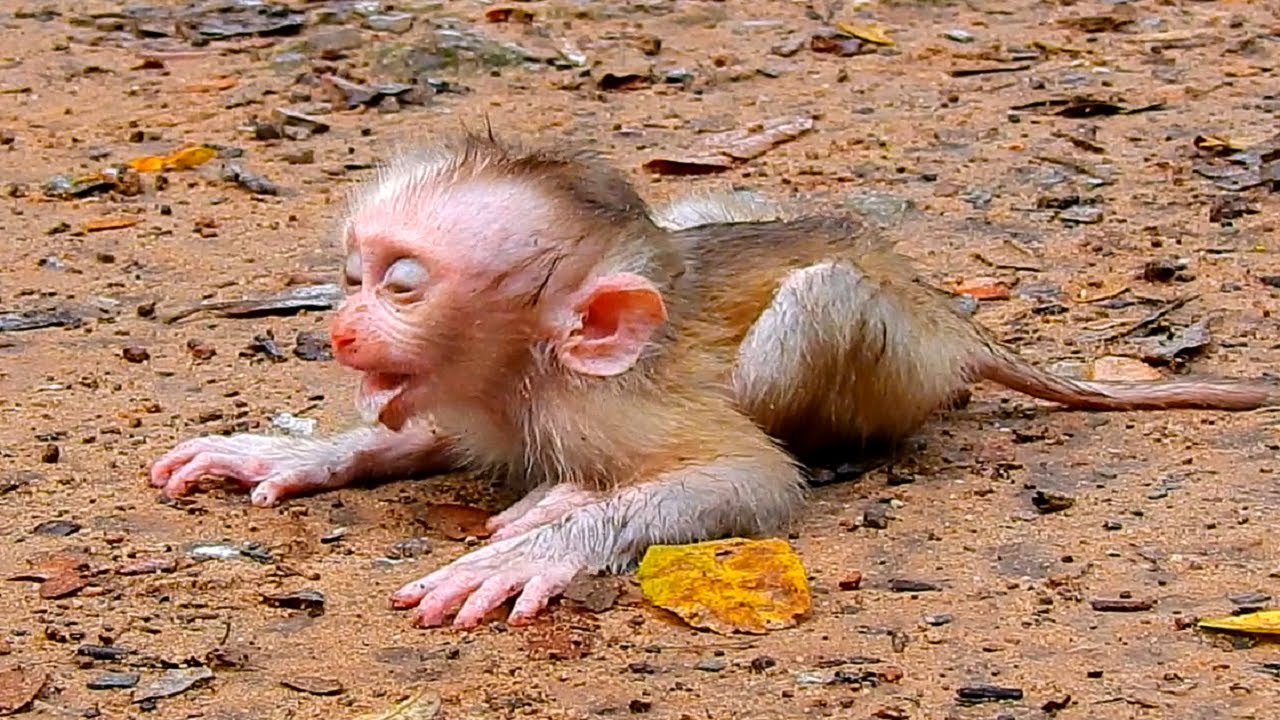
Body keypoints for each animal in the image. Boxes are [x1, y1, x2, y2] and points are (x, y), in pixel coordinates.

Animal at [150, 134, 1278, 629]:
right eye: (352, 276)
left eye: (400, 285)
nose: (341, 327)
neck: (527, 373)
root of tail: (947, 313)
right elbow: (412, 430)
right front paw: (296, 453)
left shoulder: (601, 401)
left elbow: (746, 481)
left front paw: (550, 542)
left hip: (893, 352)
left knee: (816, 306)